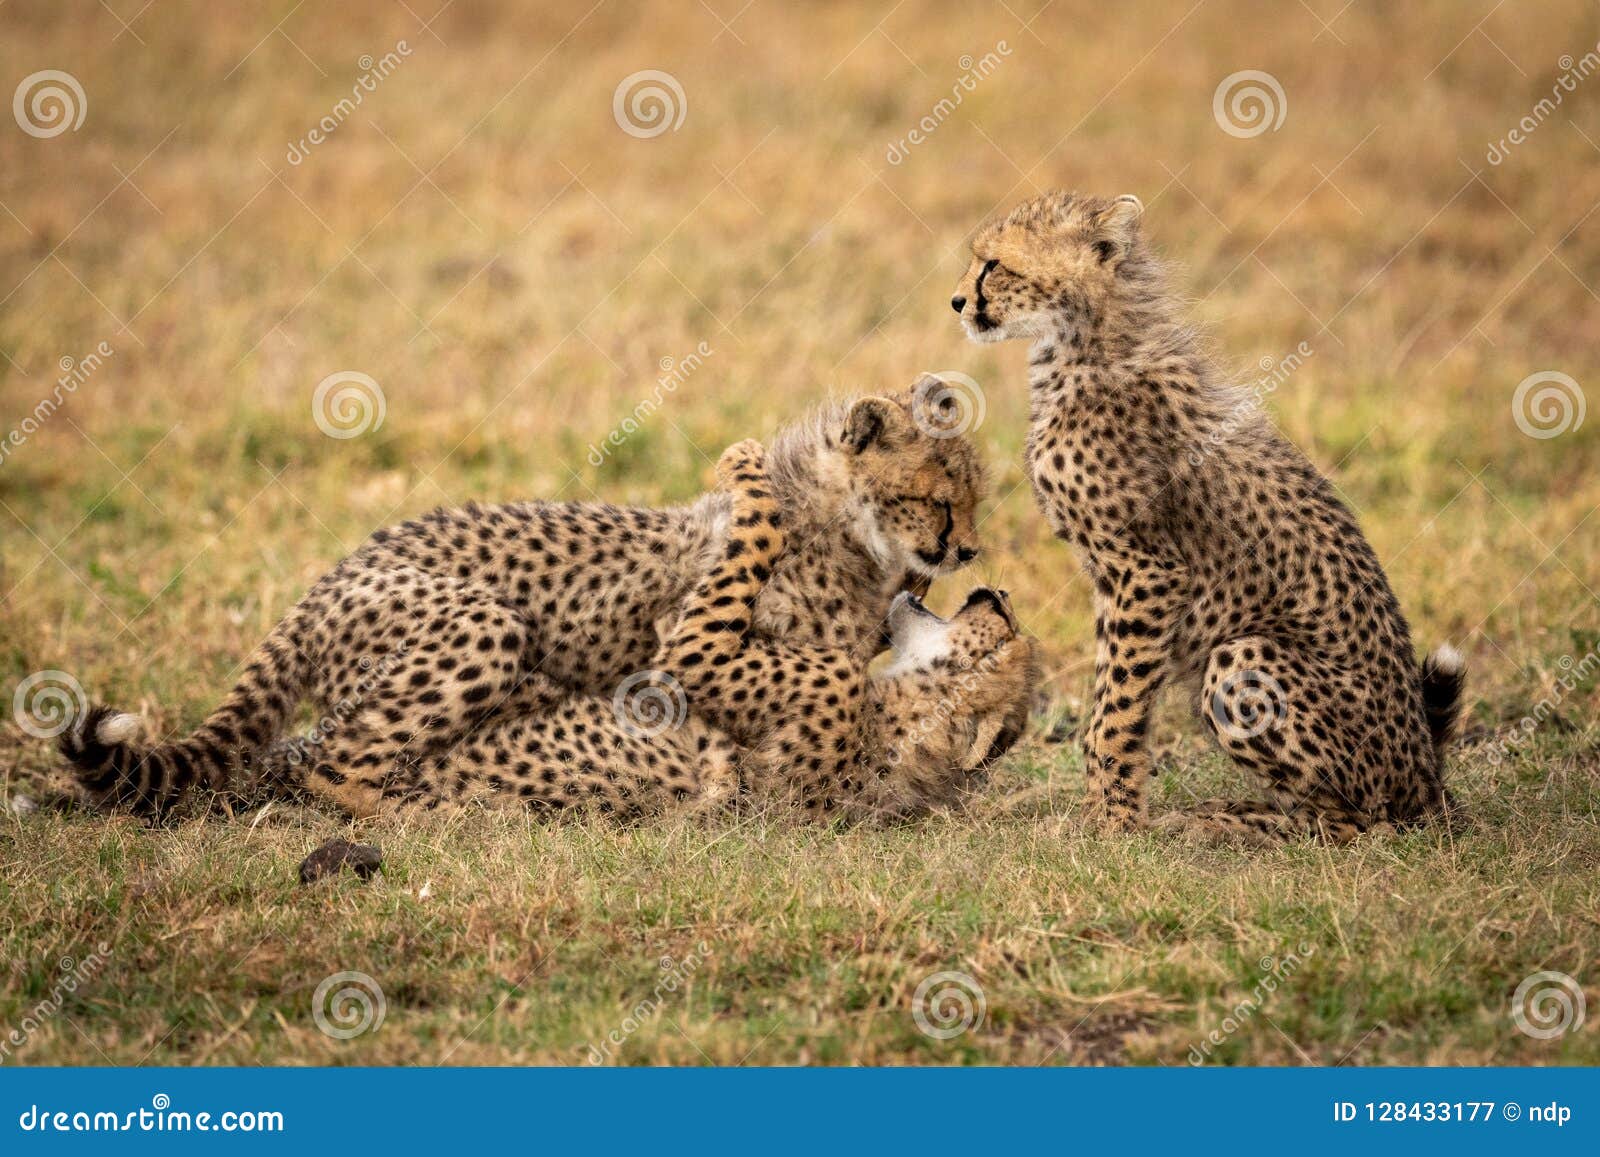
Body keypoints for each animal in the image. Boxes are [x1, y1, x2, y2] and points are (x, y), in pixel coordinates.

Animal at [59, 378, 989, 819]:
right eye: (940, 499)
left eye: (976, 497)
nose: (969, 550)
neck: (845, 530)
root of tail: (326, 580)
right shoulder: (680, 645)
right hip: (480, 621)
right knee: (341, 764)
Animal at [950, 189, 1466, 843]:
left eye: (994, 264)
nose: (957, 301)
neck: (1084, 343)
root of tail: (1426, 779)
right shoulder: (1117, 582)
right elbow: (1109, 698)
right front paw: (1101, 813)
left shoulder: (1148, 573)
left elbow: (1113, 712)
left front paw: (1112, 825)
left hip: (1243, 657)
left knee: (1355, 821)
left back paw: (1229, 822)